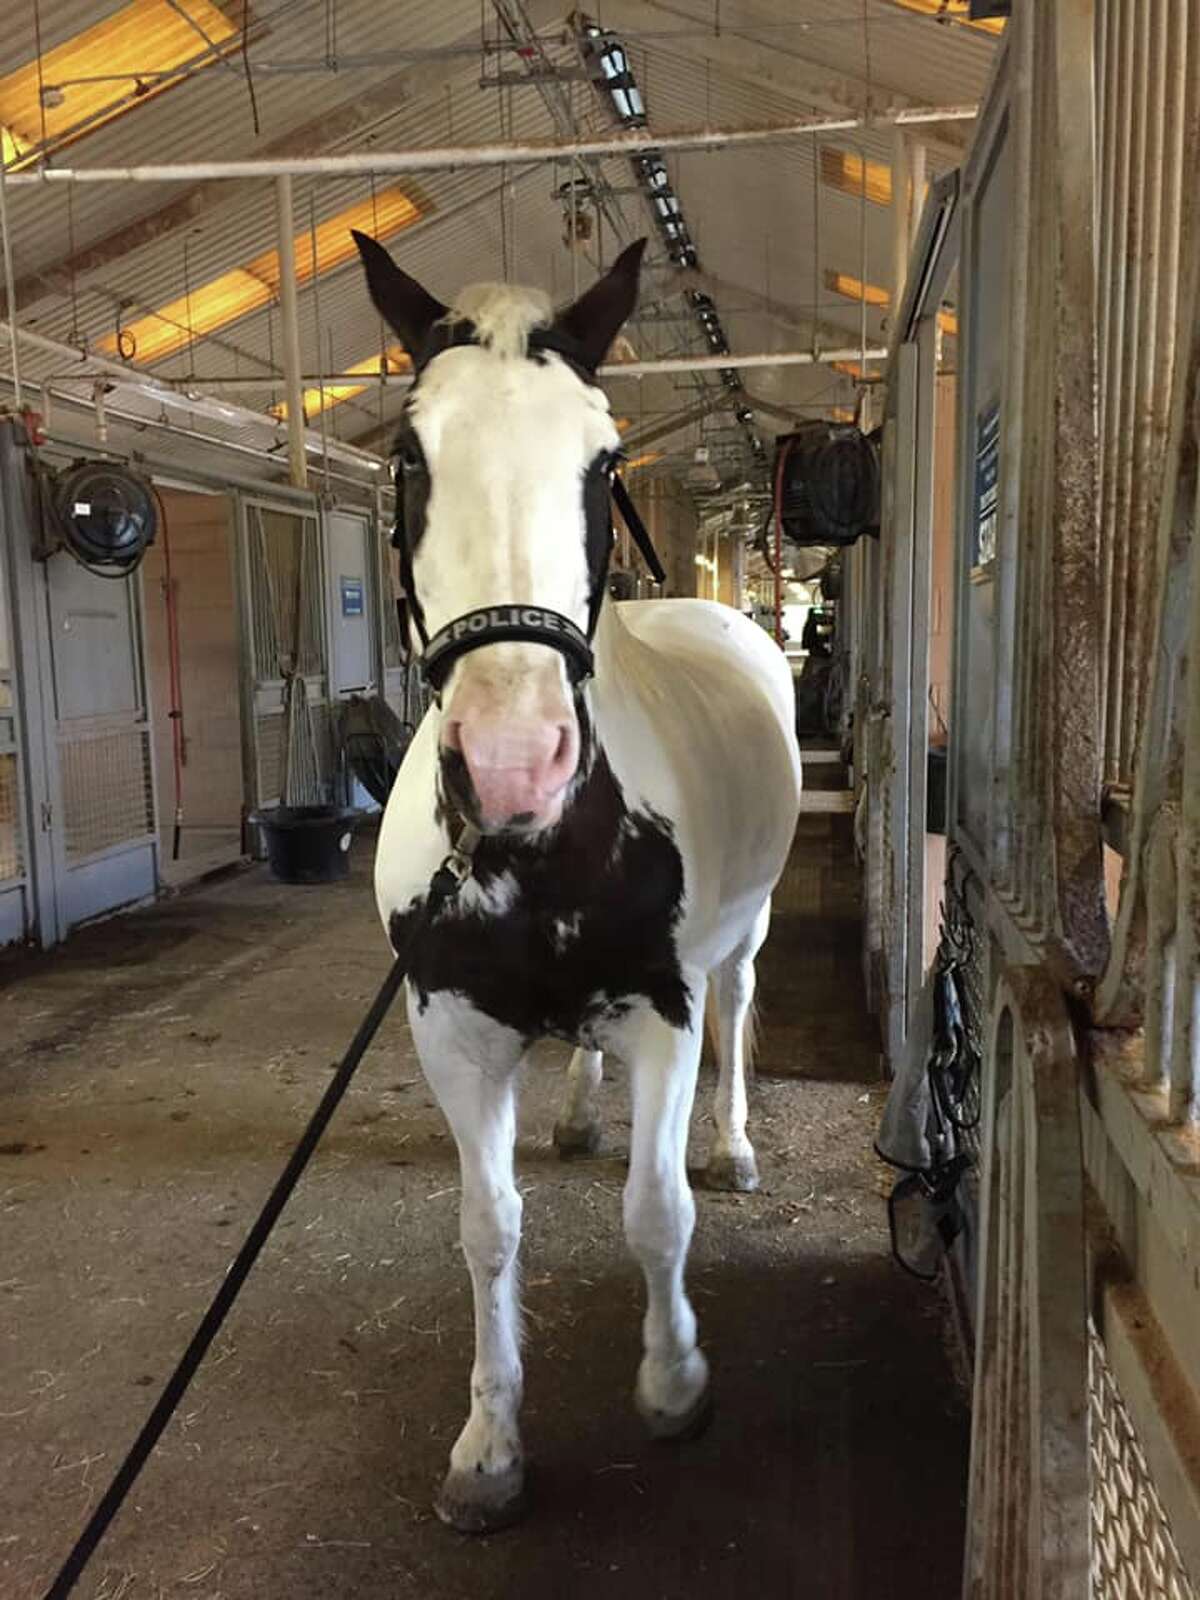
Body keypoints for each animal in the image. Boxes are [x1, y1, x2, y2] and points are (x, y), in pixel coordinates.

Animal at [353, 229, 802, 1533]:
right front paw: (489, 1445)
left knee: (738, 1020)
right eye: (410, 453)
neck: (535, 853)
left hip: (740, 945)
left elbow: (655, 1211)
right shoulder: (451, 1029)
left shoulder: (664, 1010)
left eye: (603, 457)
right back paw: (574, 1111)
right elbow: (487, 1229)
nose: (513, 762)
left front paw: (675, 1382)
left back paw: (732, 1142)